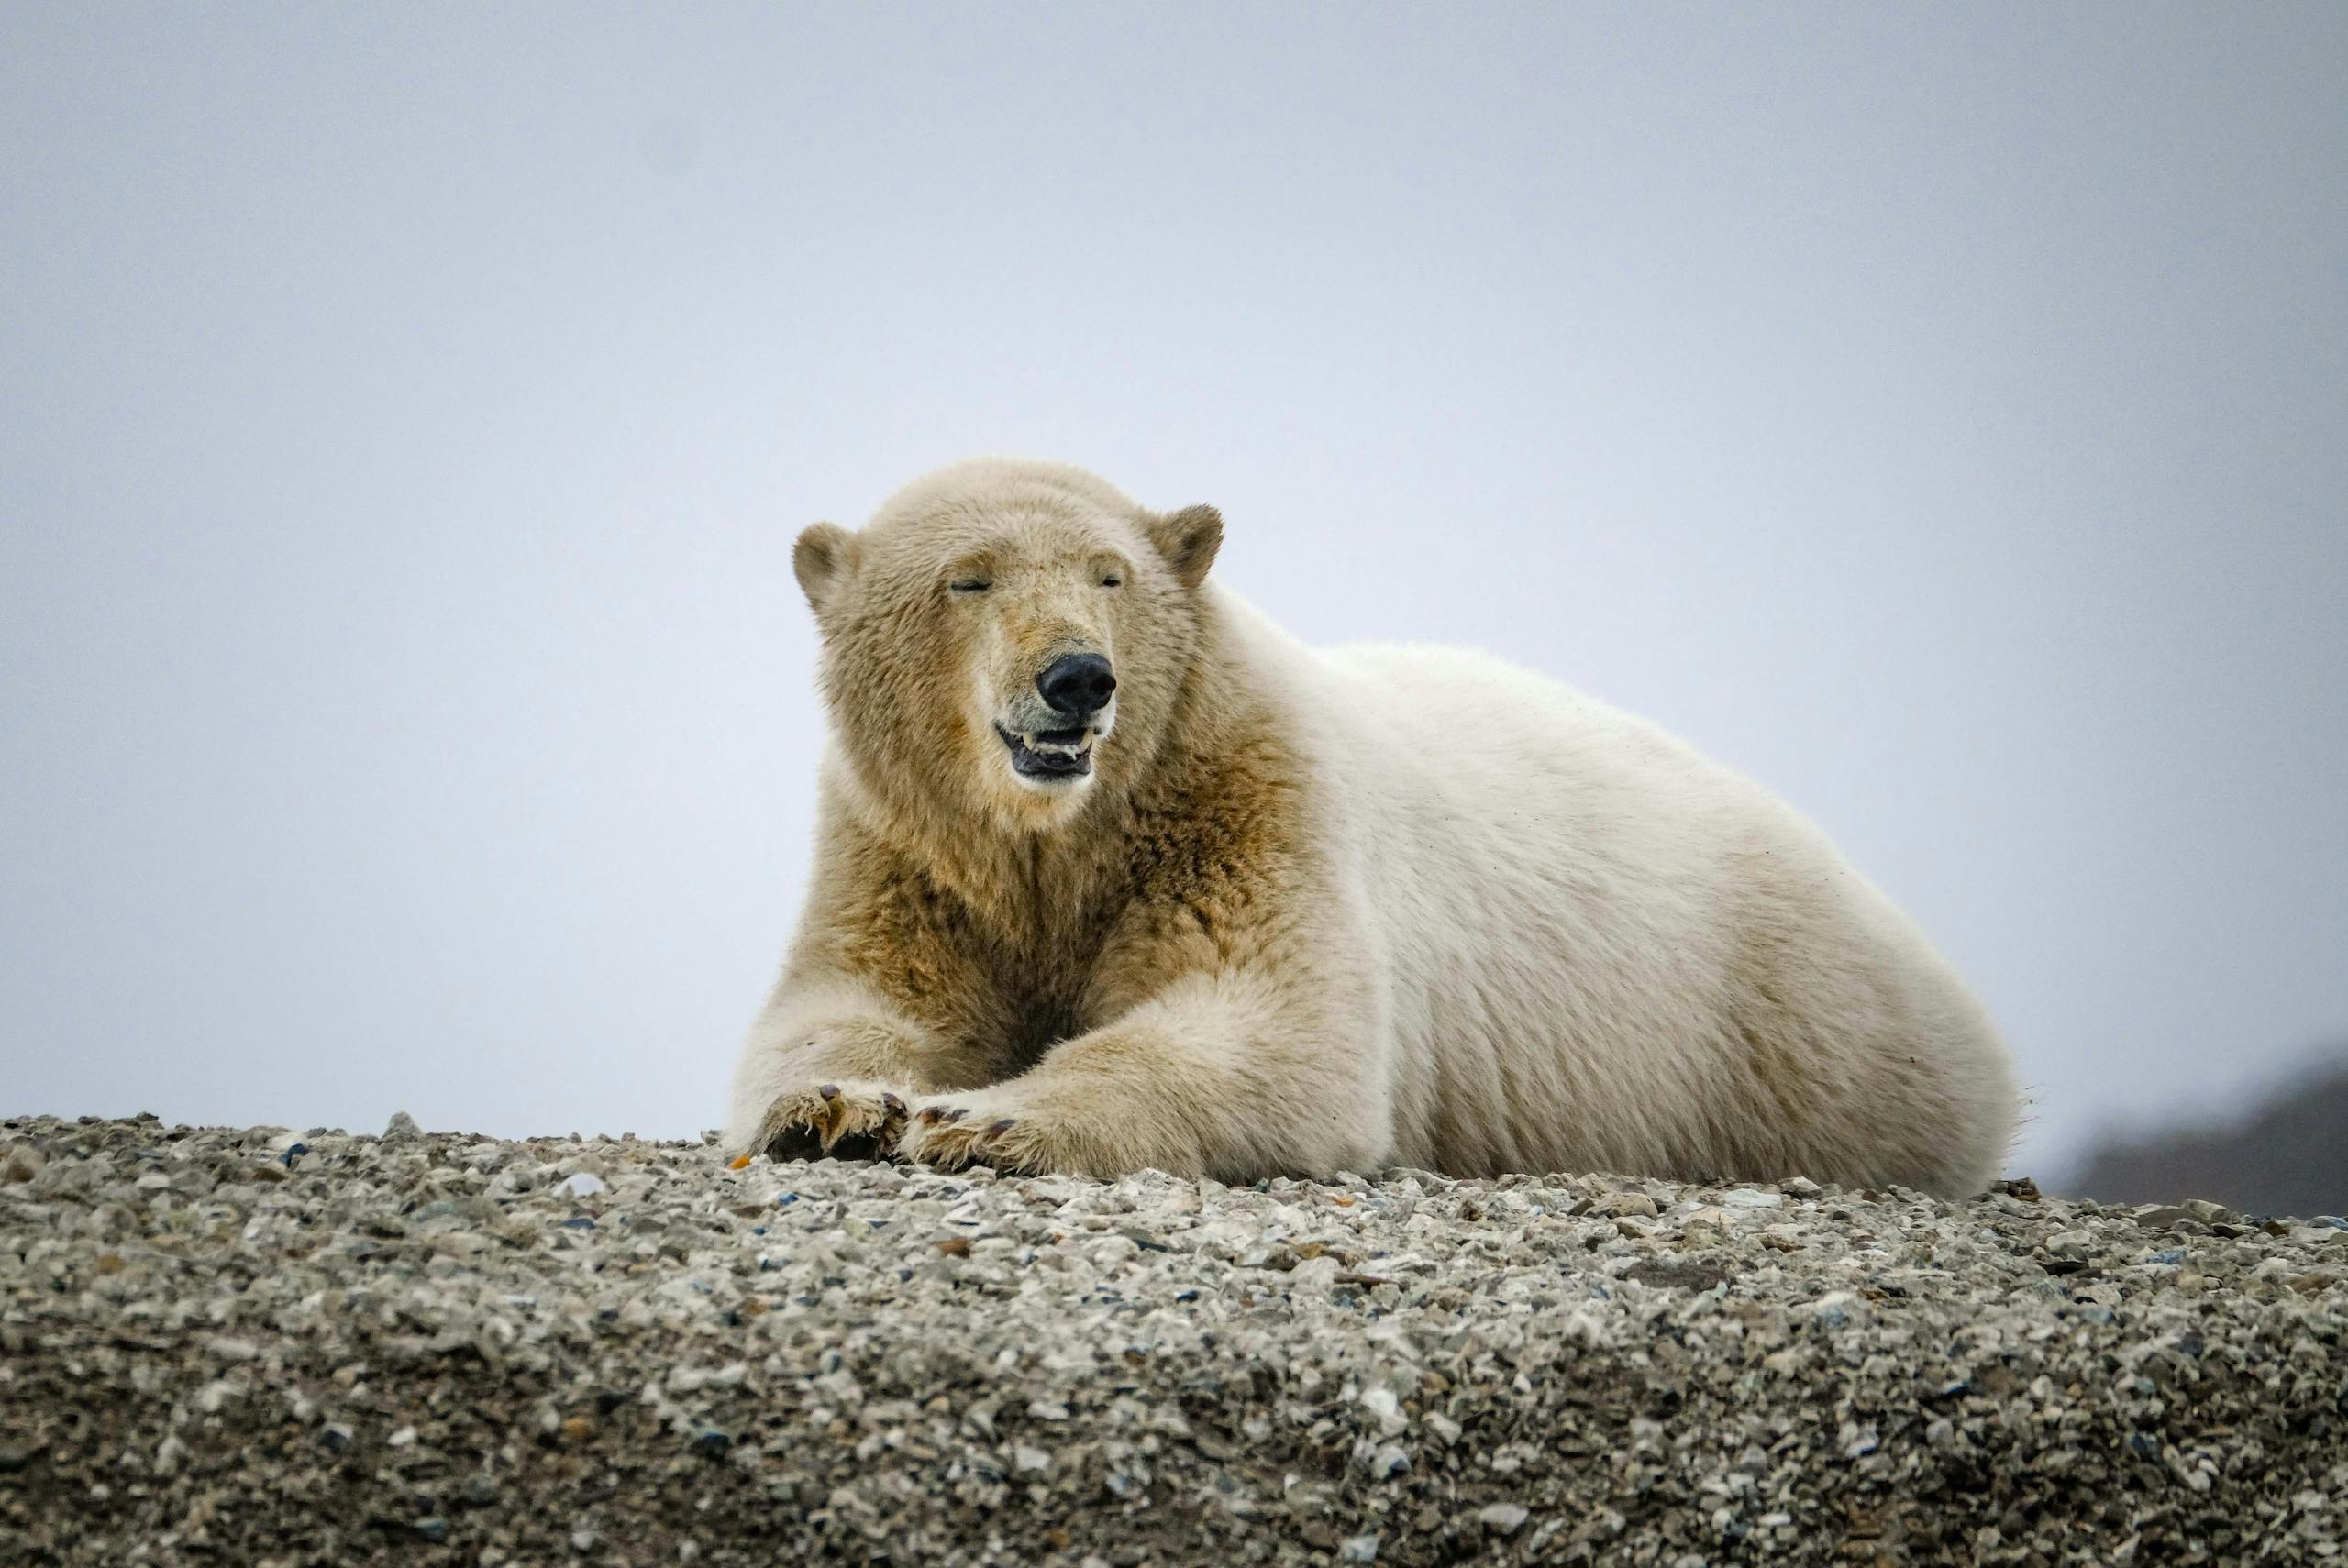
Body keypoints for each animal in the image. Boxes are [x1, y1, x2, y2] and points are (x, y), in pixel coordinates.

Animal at [725, 458, 2020, 1197]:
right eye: (969, 578)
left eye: (1108, 575)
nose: (1079, 680)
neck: (1067, 835)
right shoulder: (908, 853)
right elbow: (855, 1003)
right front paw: (839, 1108)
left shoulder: (1247, 803)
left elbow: (1272, 1024)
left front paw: (983, 1119)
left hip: (1780, 1028)